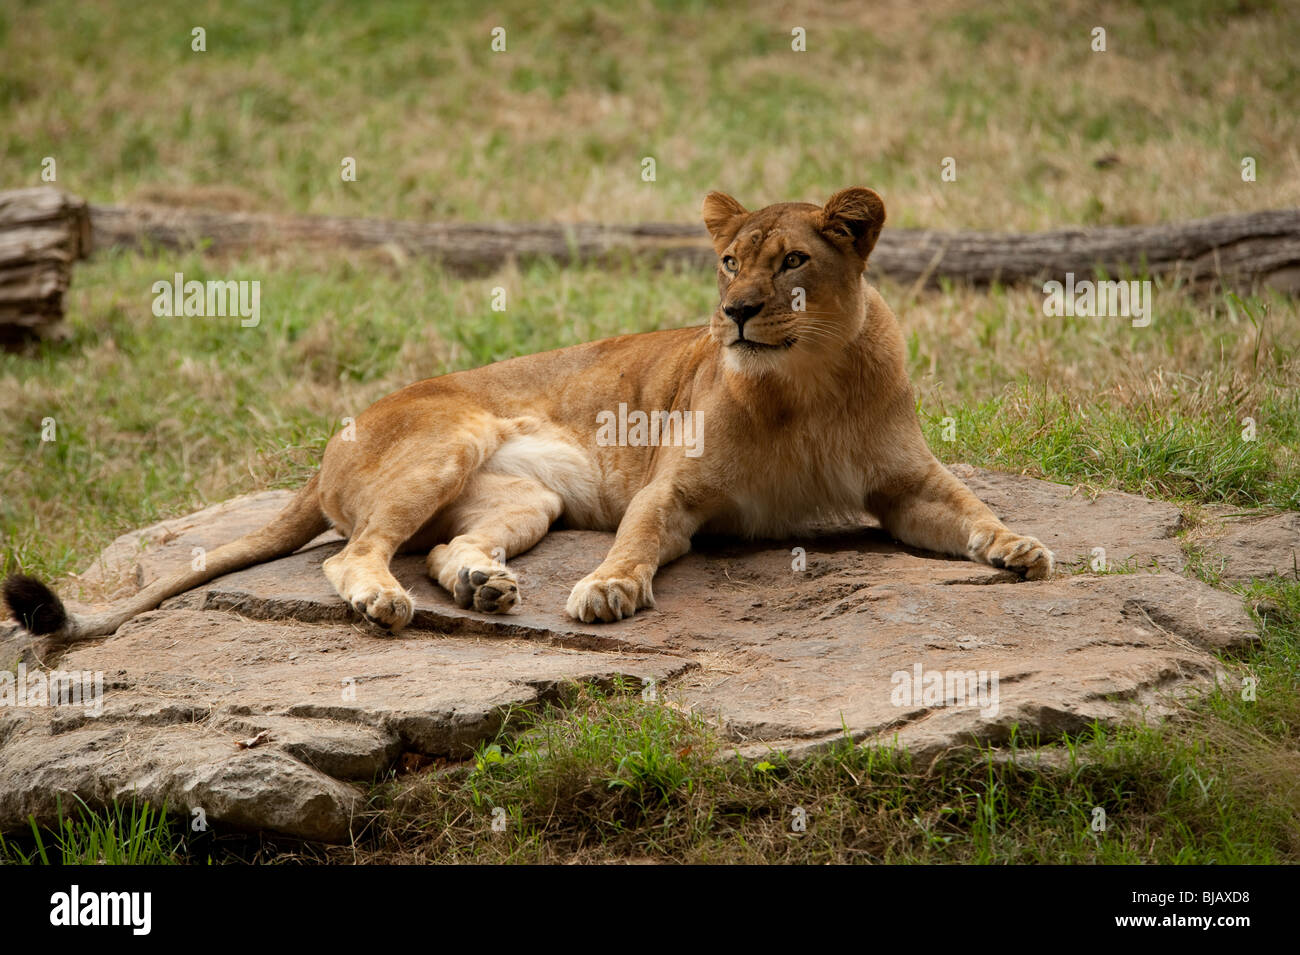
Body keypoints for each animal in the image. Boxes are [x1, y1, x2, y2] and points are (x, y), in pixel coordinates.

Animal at [4, 187, 1053, 642]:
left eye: (793, 261)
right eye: (728, 260)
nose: (737, 312)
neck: (807, 384)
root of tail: (326, 447)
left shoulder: (907, 482)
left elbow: (970, 509)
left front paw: (1020, 549)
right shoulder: (676, 490)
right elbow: (635, 540)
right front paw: (606, 592)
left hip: (519, 500)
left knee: (439, 547)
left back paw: (484, 587)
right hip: (453, 437)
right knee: (357, 554)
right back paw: (387, 601)